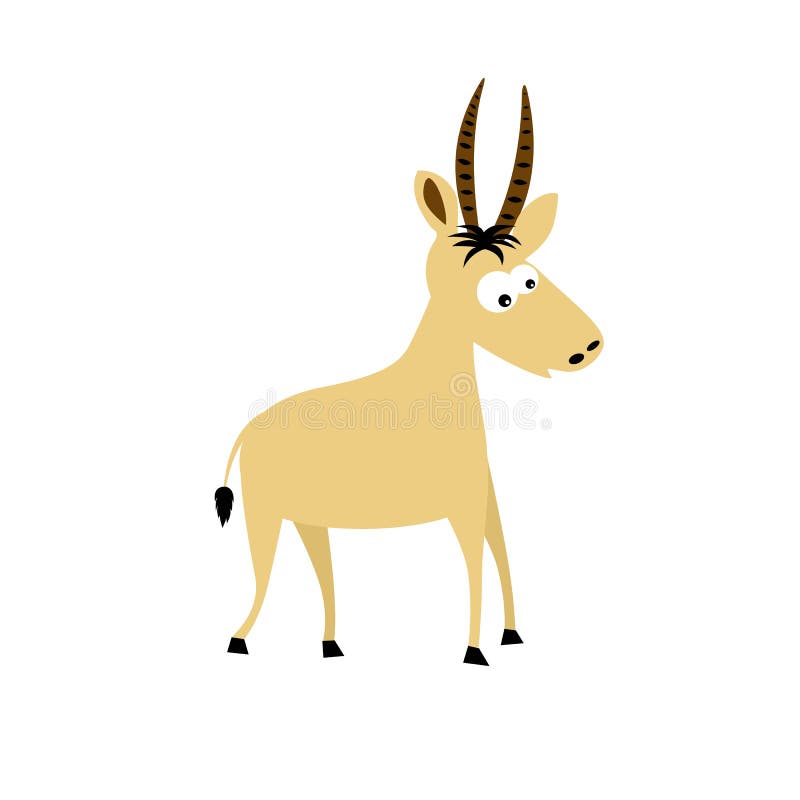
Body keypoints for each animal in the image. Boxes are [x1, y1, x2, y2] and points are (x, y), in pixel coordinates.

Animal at [215, 79, 602, 665]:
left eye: (532, 275)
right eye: (504, 295)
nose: (588, 346)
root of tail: (246, 432)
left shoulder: (484, 500)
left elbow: (501, 552)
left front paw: (511, 635)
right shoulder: (460, 509)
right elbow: (476, 564)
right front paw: (474, 651)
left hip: (308, 519)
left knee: (321, 572)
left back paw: (331, 646)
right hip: (265, 515)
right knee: (266, 572)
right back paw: (238, 640)